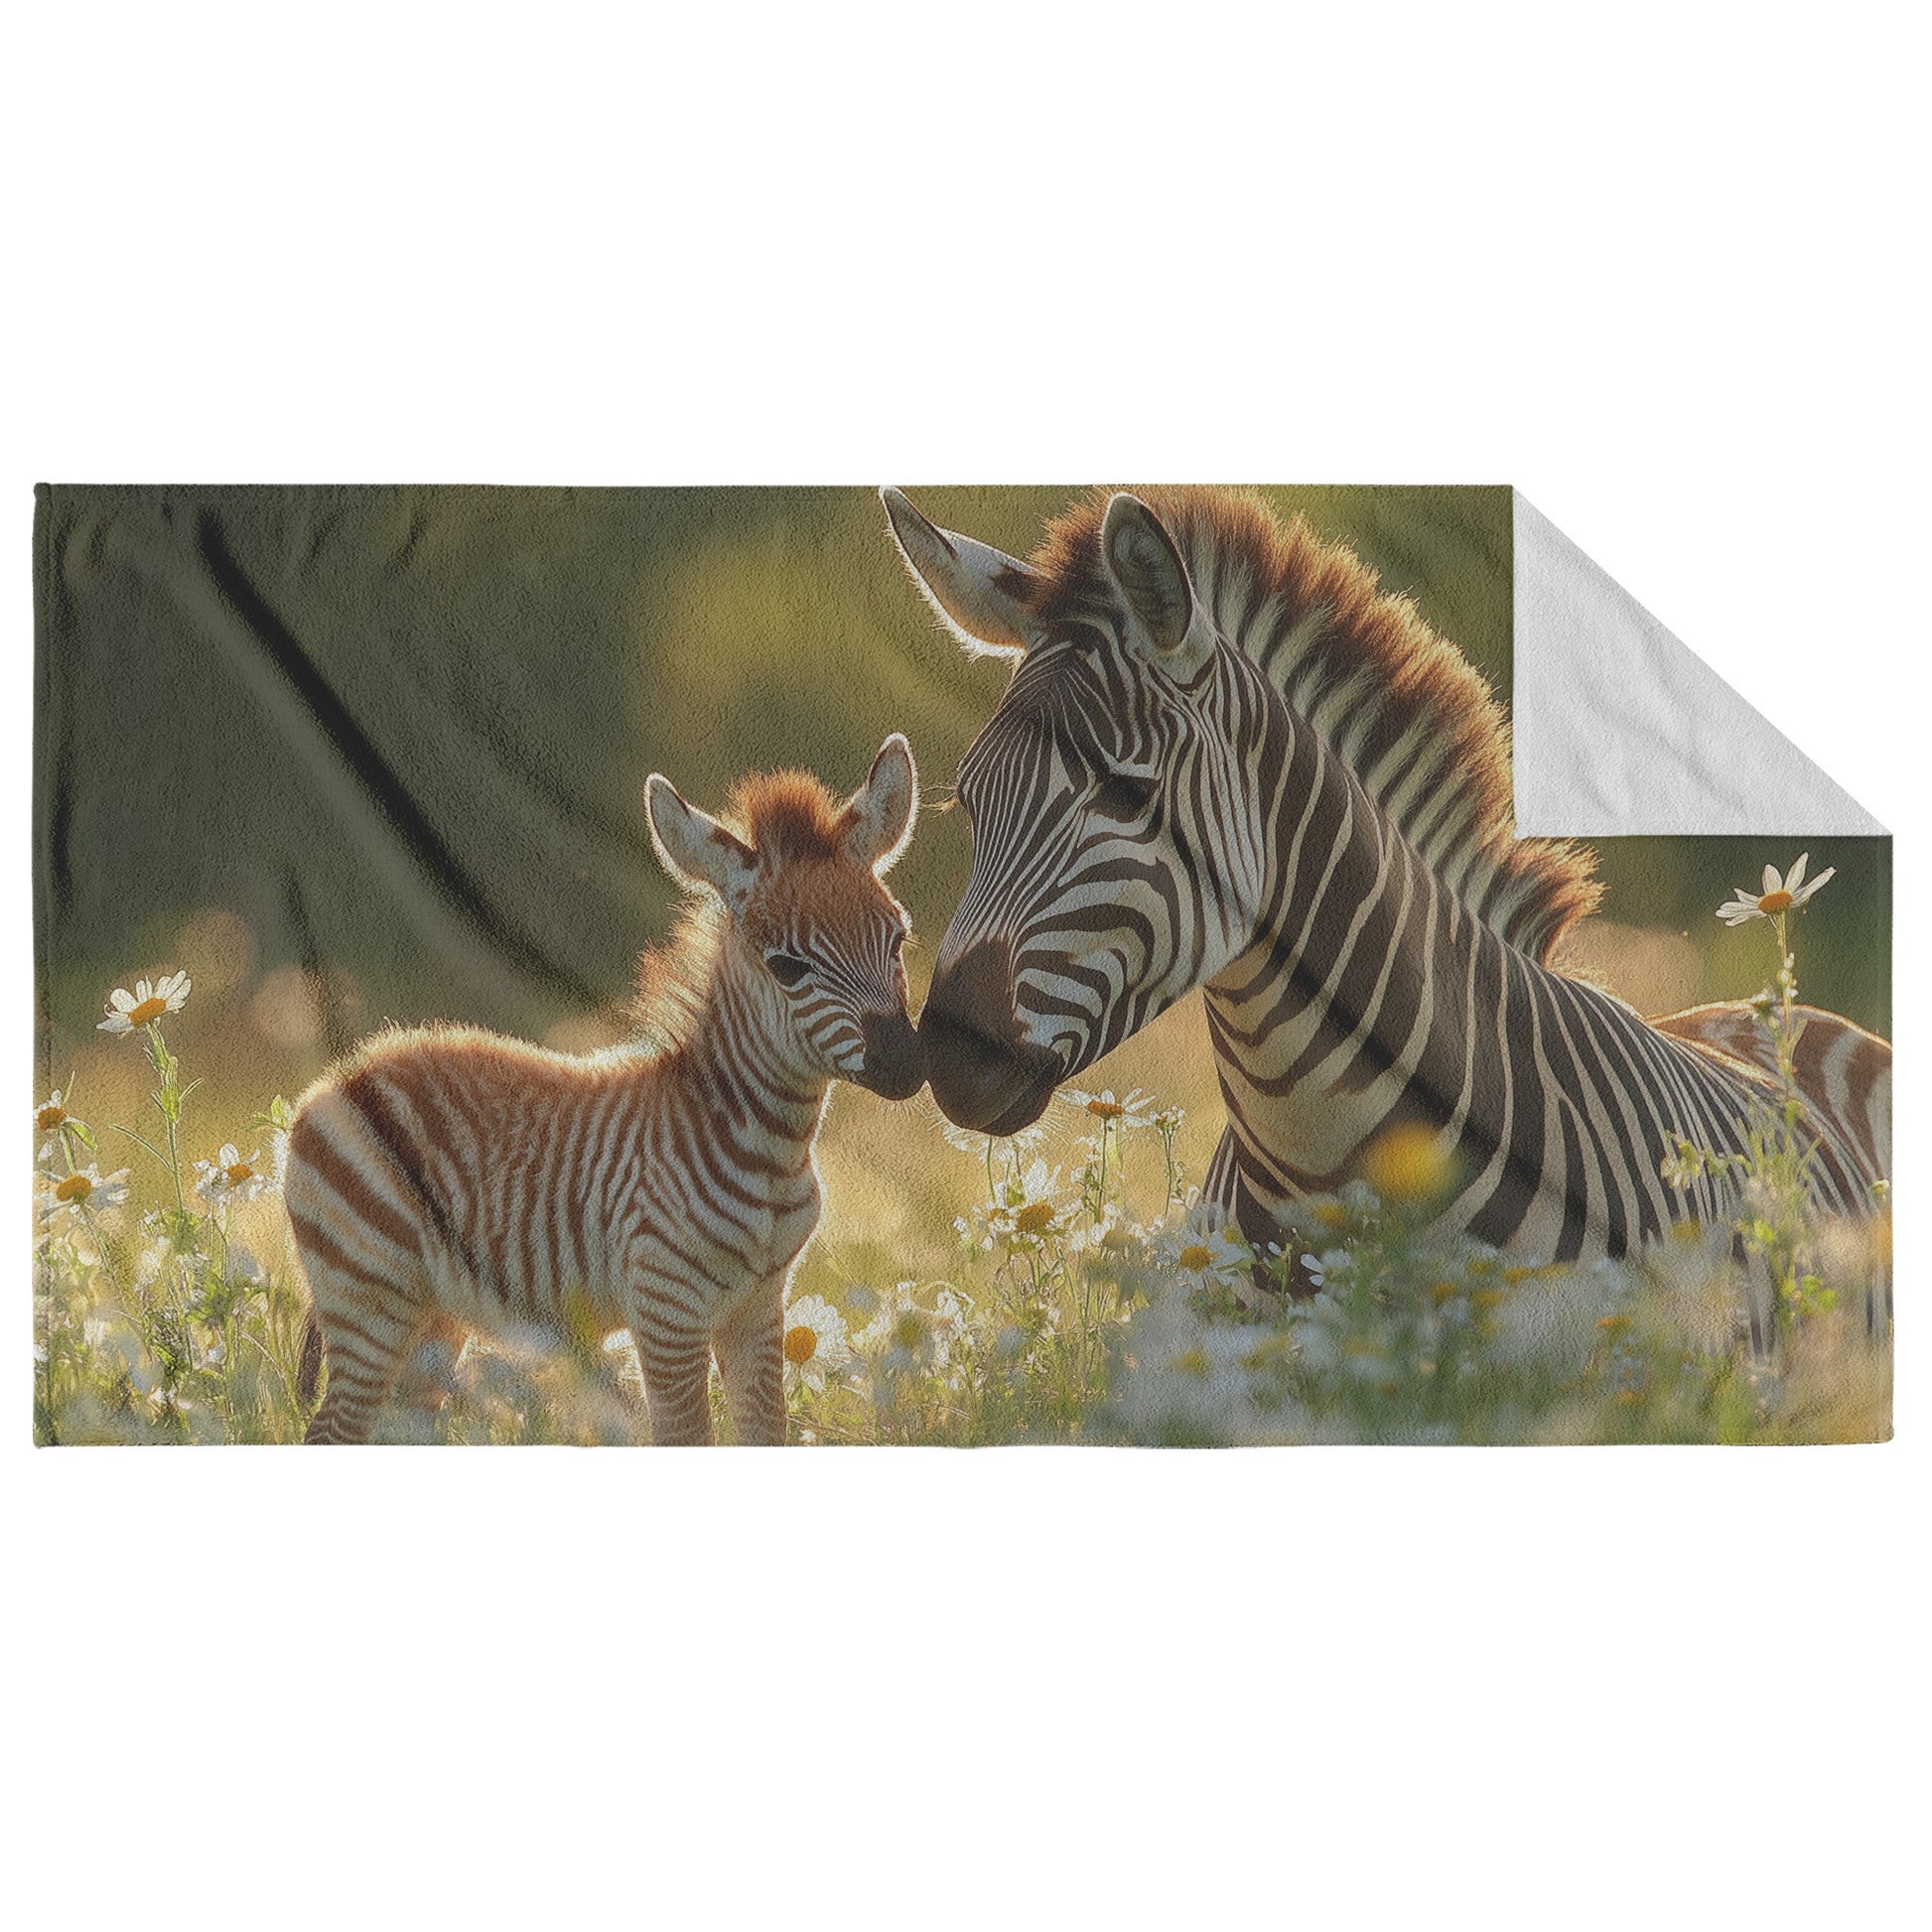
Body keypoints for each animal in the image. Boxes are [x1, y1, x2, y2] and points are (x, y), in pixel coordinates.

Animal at [286, 734, 924, 1444]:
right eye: (788, 967)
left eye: (898, 937)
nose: (908, 1065)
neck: (772, 1150)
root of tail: (341, 1076)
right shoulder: (666, 1308)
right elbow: (685, 1436)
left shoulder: (758, 1307)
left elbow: (764, 1434)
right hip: (369, 1296)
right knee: (332, 1431)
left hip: (433, 1319)